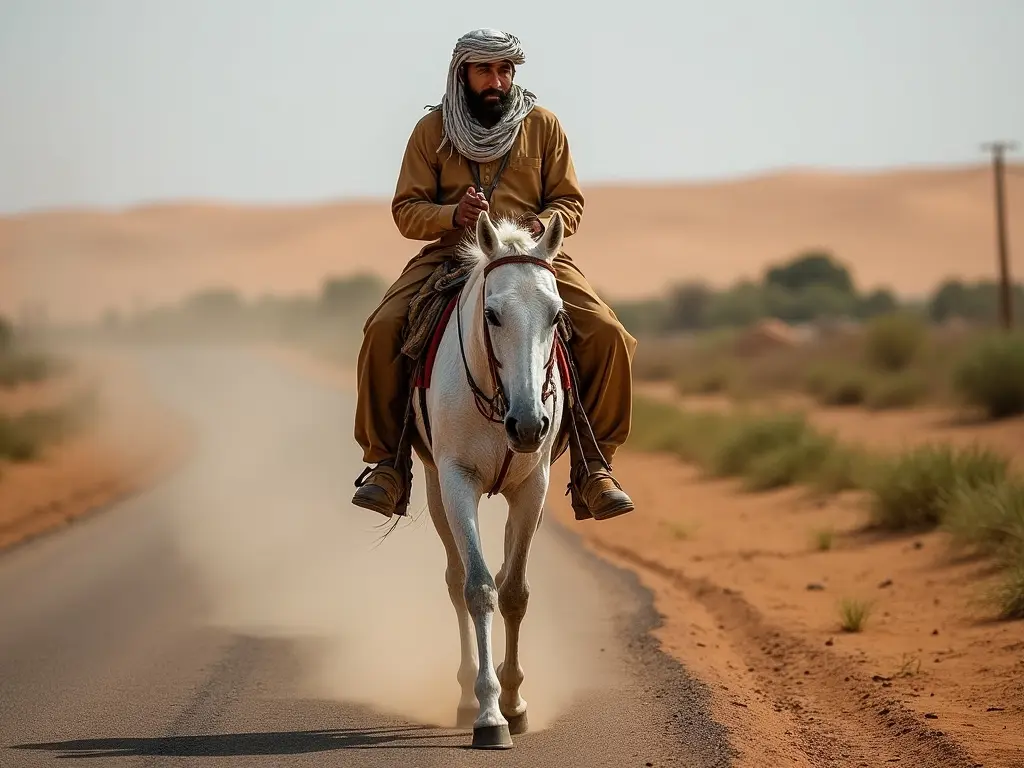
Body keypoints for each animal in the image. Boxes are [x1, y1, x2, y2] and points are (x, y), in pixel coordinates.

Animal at [409, 209, 571, 750]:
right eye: (494, 314)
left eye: (557, 315)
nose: (529, 424)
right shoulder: (458, 481)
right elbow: (479, 588)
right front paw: (489, 714)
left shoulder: (534, 486)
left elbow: (514, 591)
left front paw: (515, 703)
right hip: (437, 491)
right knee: (456, 579)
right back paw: (465, 696)